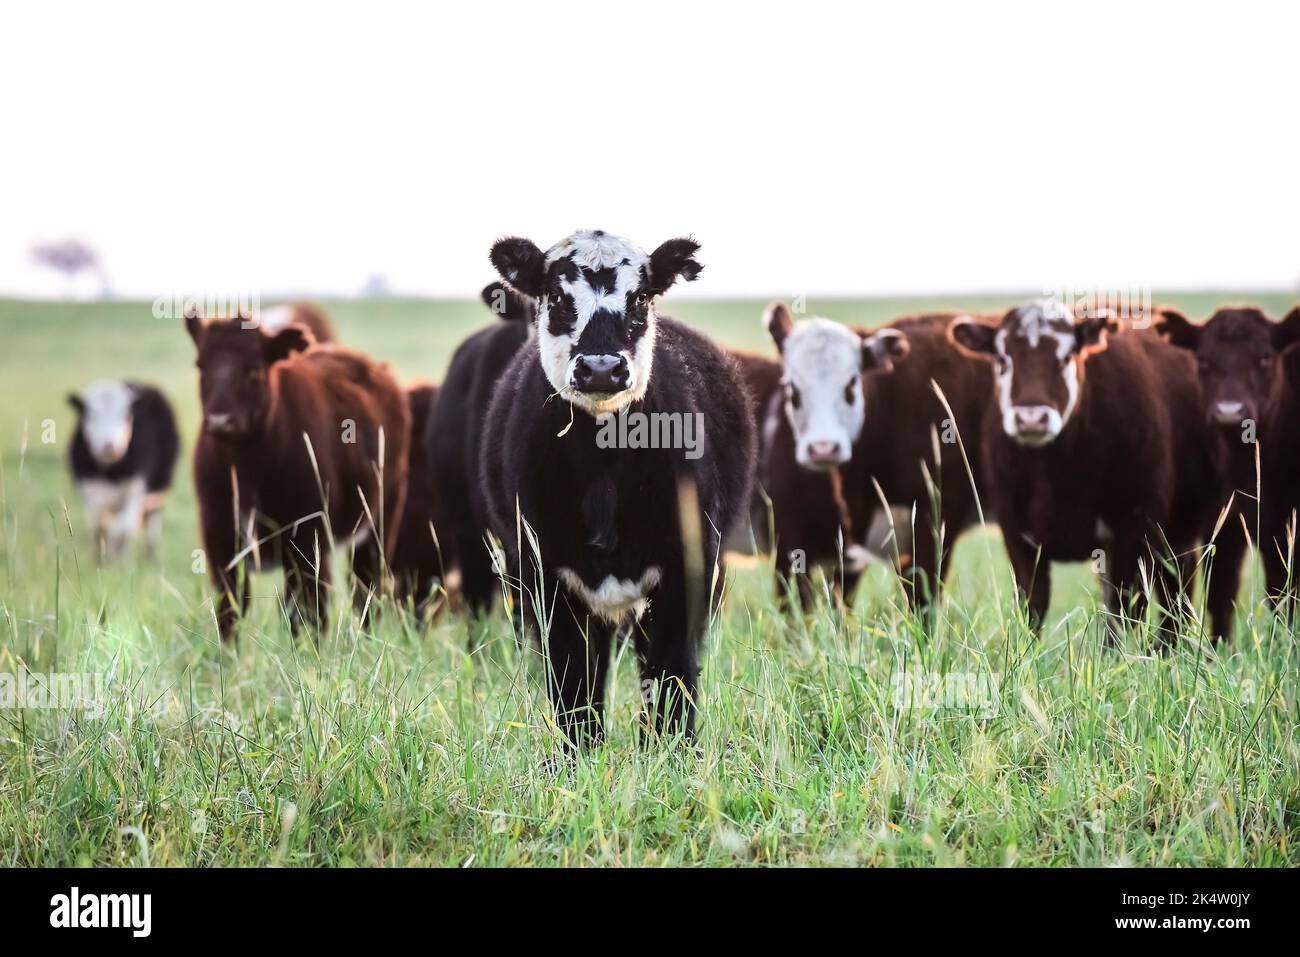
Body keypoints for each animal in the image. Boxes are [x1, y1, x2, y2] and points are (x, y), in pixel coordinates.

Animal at [67, 380, 180, 560]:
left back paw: (149, 555)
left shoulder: (137, 490)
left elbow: (123, 529)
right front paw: (101, 558)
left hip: (159, 486)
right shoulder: (91, 491)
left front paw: (121, 560)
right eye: (91, 415)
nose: (109, 445)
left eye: (126, 415)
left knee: (151, 521)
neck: (112, 472)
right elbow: (99, 528)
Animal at [186, 308, 410, 640]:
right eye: (201, 365)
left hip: (380, 523)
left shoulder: (307, 537)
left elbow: (306, 610)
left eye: (254, 368)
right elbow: (231, 610)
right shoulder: (219, 537)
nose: (220, 420)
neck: (248, 469)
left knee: (364, 591)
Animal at [479, 229, 756, 748]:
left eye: (641, 296)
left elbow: (672, 675)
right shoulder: (548, 579)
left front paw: (671, 752)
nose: (603, 367)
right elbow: (573, 686)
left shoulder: (685, 569)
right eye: (556, 296)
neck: (604, 470)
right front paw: (578, 756)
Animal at [949, 300, 1223, 642]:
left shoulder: (1134, 529)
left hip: (1180, 533)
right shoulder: (1017, 534)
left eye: (1067, 356)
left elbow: (1123, 611)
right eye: (1002, 359)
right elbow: (1033, 606)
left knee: (1176, 594)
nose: (1031, 417)